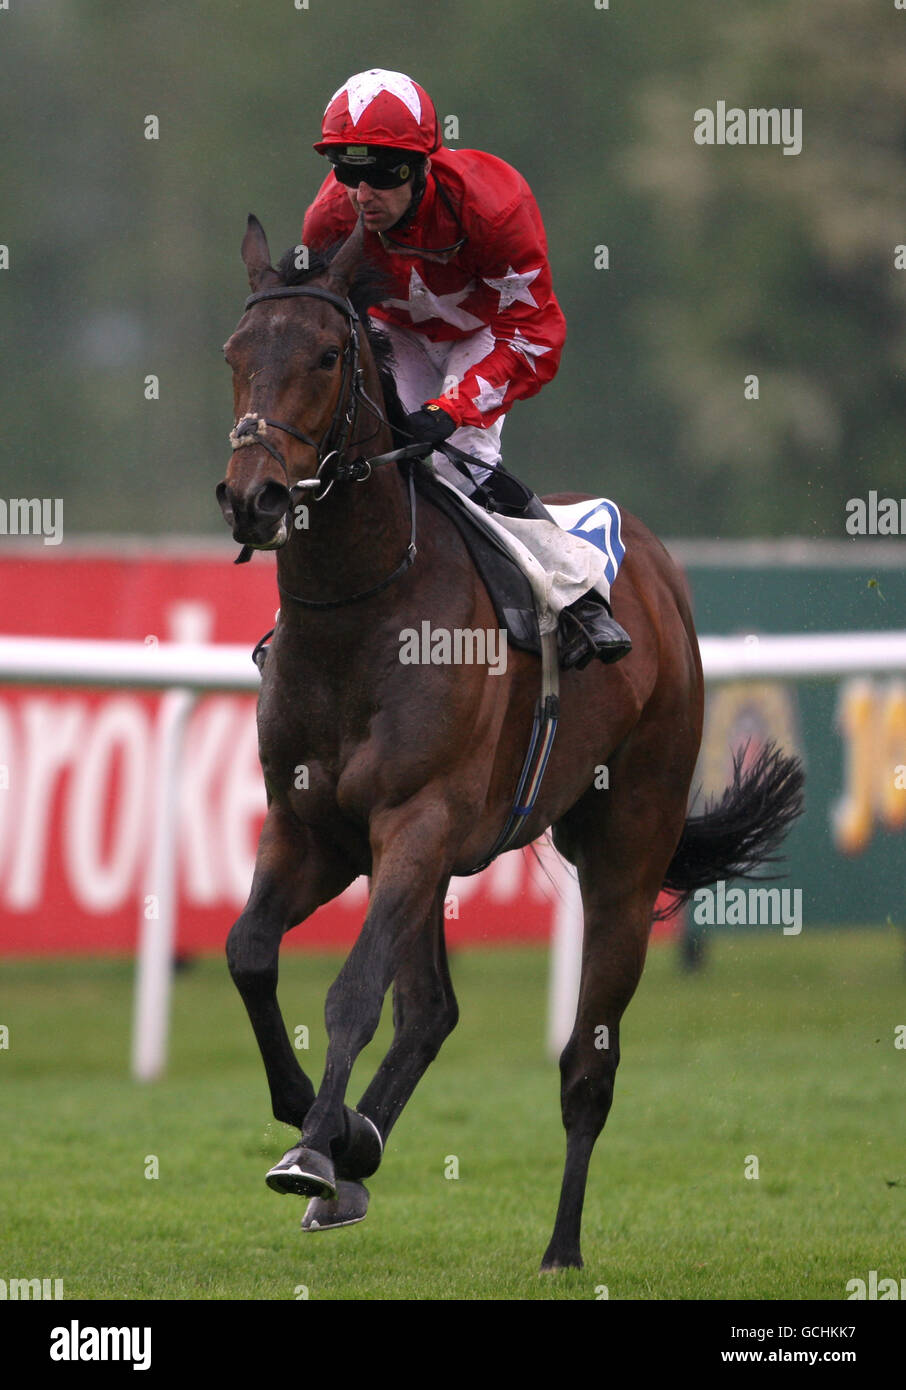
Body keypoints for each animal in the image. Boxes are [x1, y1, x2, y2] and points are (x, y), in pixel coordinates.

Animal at [216, 213, 804, 1271]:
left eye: (326, 355)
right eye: (237, 354)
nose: (256, 497)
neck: (359, 615)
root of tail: (657, 570)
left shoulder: (417, 818)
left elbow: (352, 994)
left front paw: (315, 1151)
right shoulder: (316, 830)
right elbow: (250, 955)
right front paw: (317, 1125)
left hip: (623, 850)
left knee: (586, 1065)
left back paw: (560, 1246)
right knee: (432, 1011)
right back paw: (361, 1146)